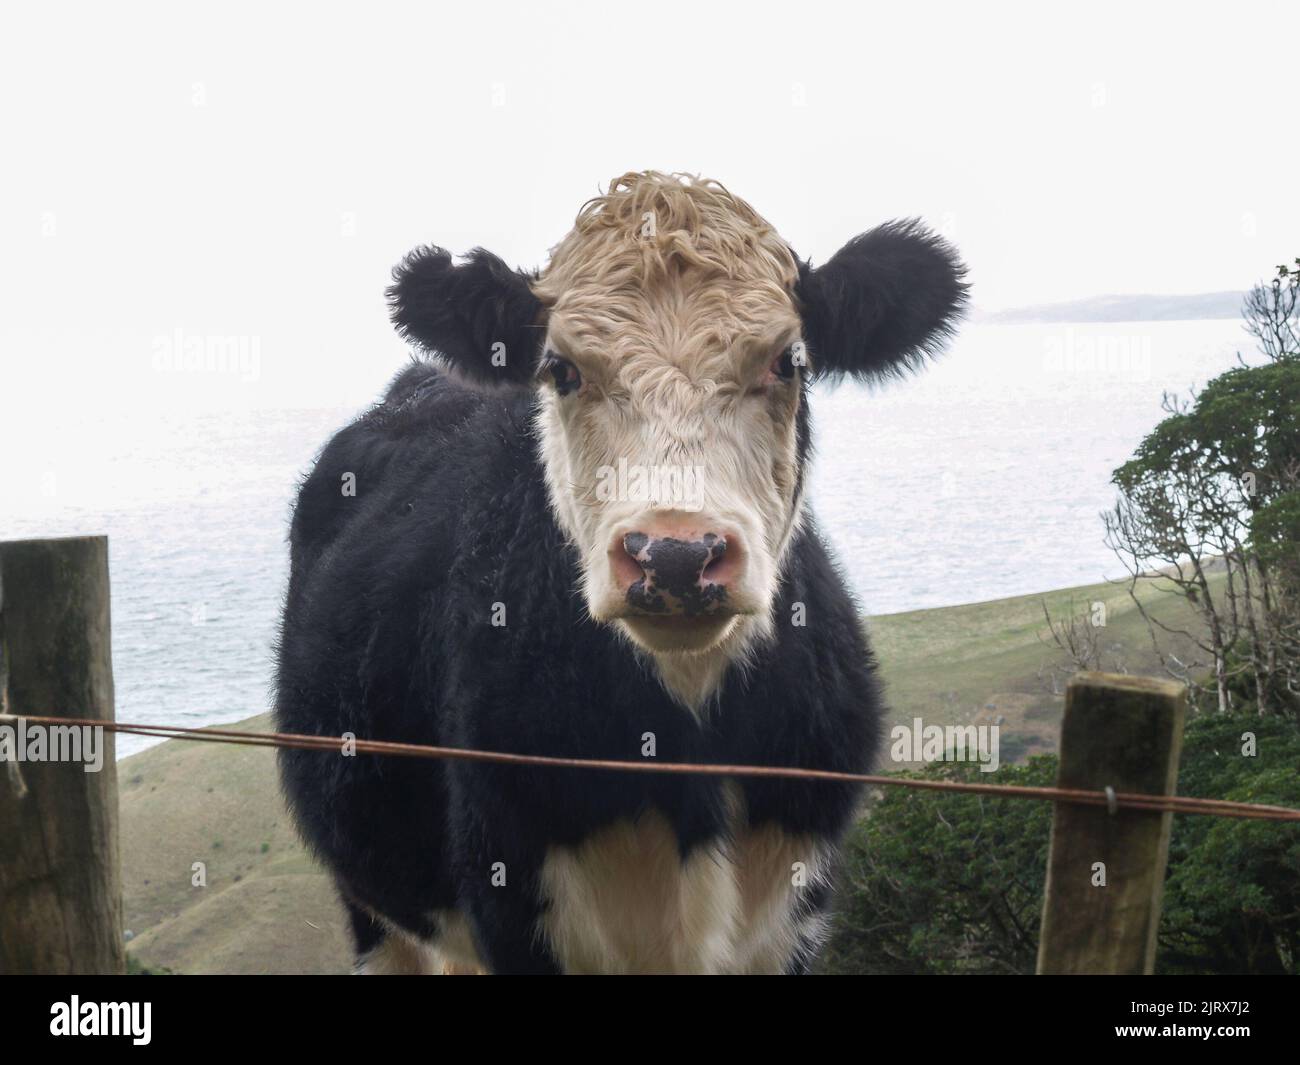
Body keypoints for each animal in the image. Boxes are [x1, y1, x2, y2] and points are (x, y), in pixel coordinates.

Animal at [275, 171, 966, 974]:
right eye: (562, 370)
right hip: (373, 906)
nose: (676, 555)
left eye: (787, 361)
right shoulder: (512, 909)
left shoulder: (792, 916)